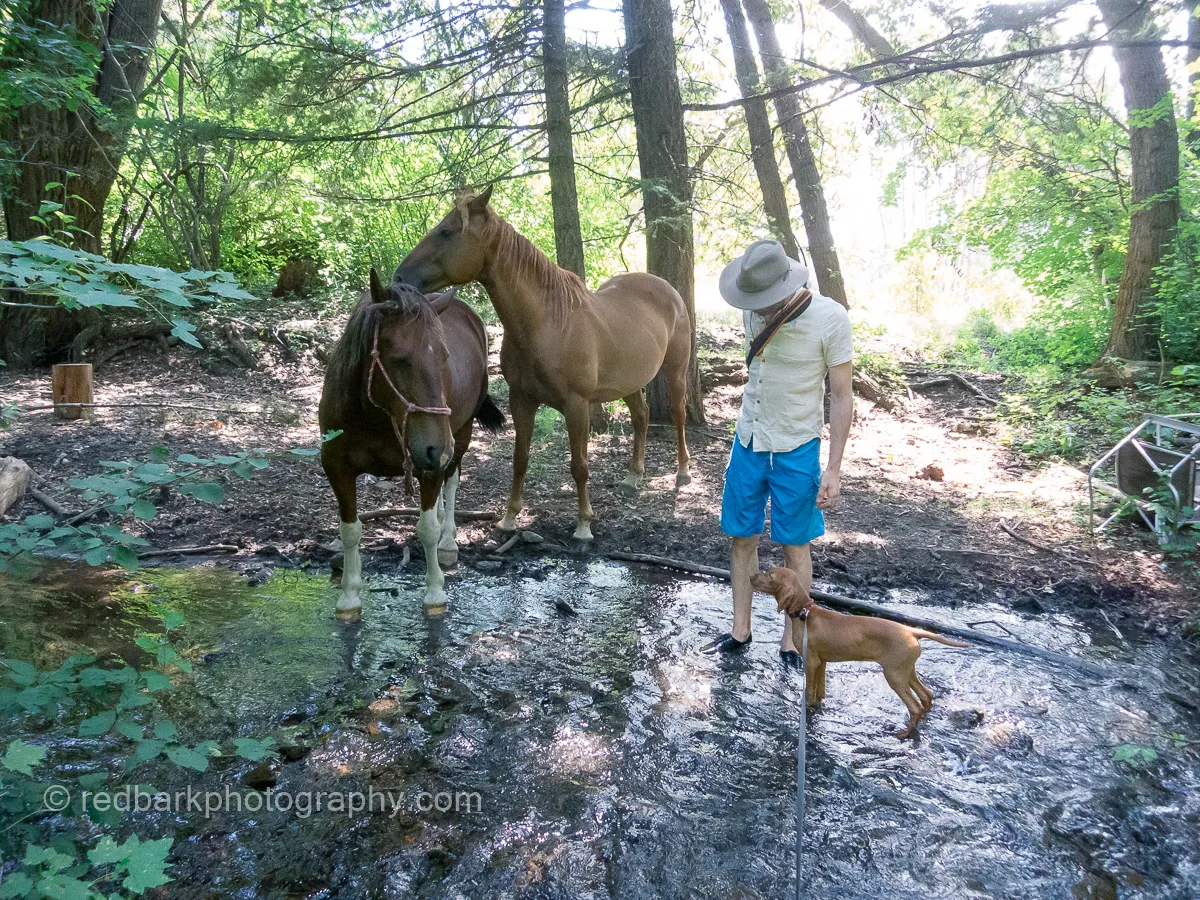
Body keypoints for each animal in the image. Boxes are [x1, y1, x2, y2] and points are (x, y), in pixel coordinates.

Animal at [318, 270, 504, 616]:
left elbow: (427, 529)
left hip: (460, 435)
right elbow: (350, 530)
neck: (375, 417)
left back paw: (448, 540)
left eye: (444, 357)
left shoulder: (430, 462)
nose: (437, 448)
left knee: (452, 479)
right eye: (399, 360)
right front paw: (349, 596)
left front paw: (435, 592)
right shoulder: (336, 467)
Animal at [393, 186, 692, 543]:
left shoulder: (576, 406)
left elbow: (579, 465)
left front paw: (583, 524)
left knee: (677, 413)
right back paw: (633, 477)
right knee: (641, 416)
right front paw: (509, 518)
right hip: (629, 381)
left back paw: (683, 472)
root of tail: (666, 288)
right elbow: (520, 459)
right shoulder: (521, 400)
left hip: (675, 371)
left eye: (446, 232)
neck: (547, 323)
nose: (399, 278)